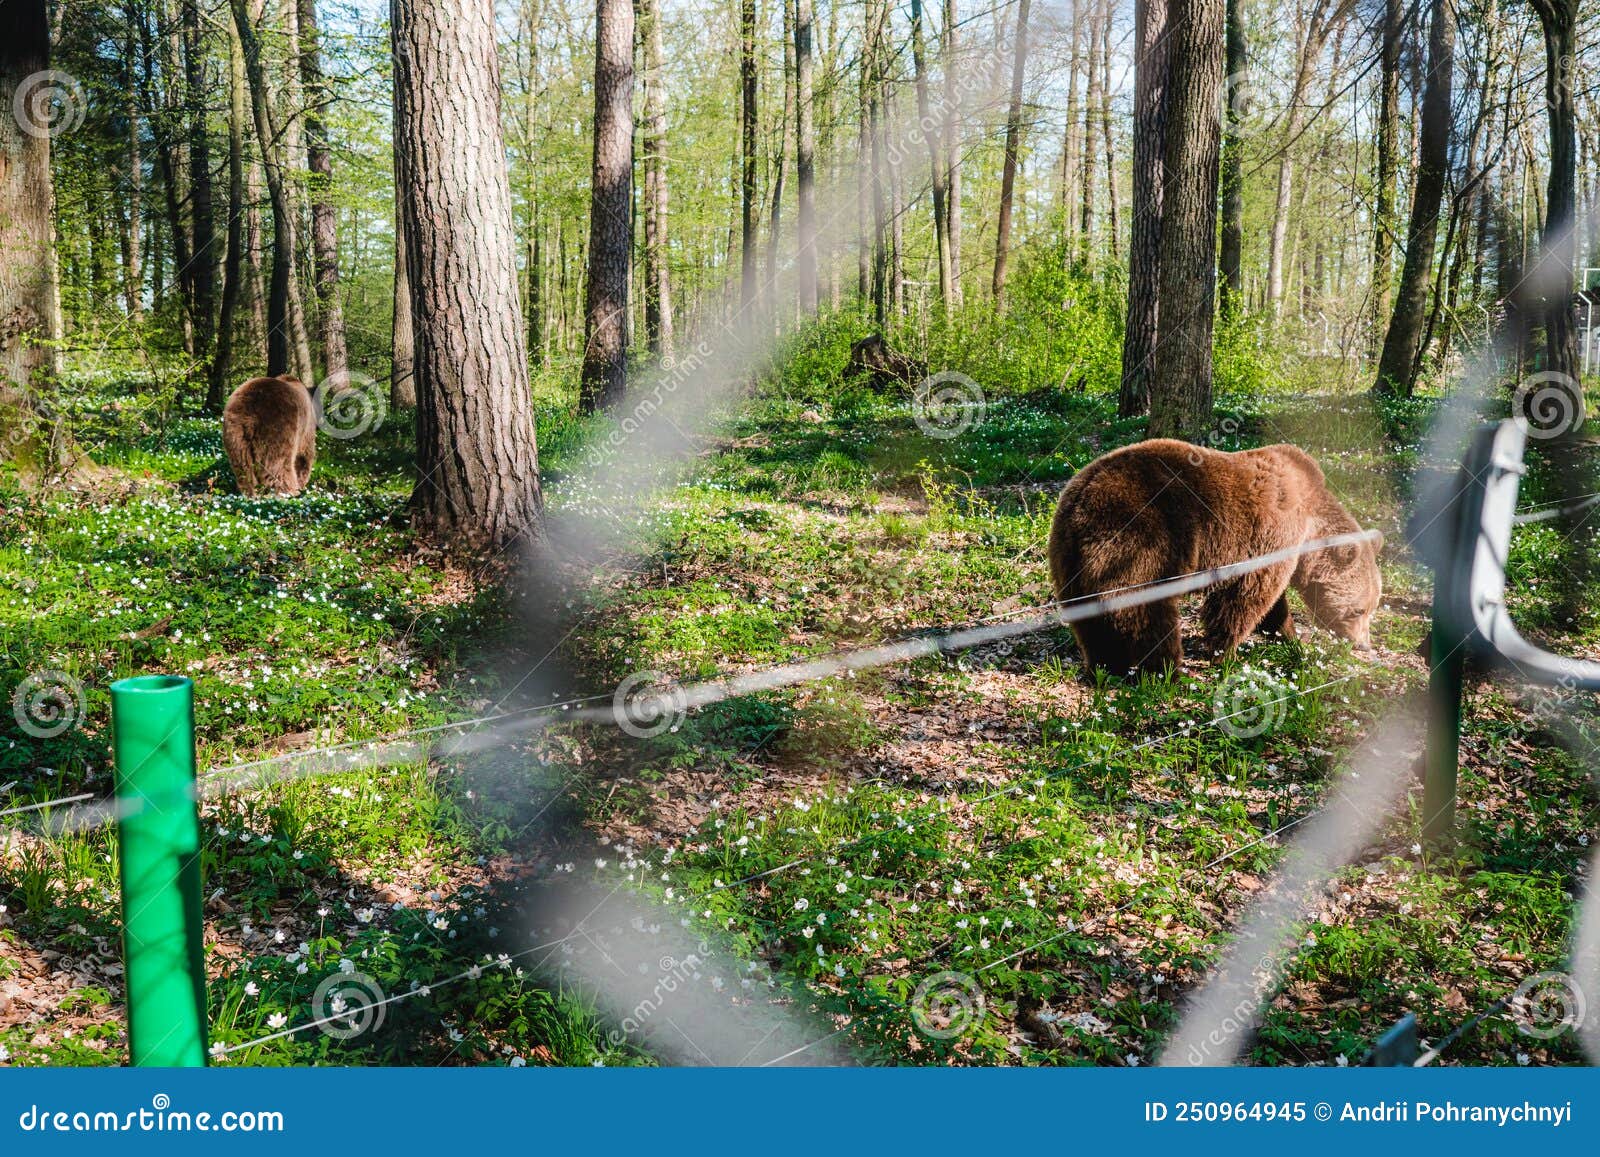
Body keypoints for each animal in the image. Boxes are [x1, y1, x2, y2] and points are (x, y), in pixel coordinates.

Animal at [1046, 439, 1382, 676]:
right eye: (1358, 610)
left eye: (1371, 608)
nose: (1363, 644)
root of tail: (1086, 493)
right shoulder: (1270, 536)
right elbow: (1248, 596)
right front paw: (1226, 652)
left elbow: (1273, 603)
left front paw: (1289, 636)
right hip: (1146, 536)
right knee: (1145, 609)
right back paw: (1167, 669)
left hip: (1068, 555)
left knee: (1087, 615)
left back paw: (1104, 665)